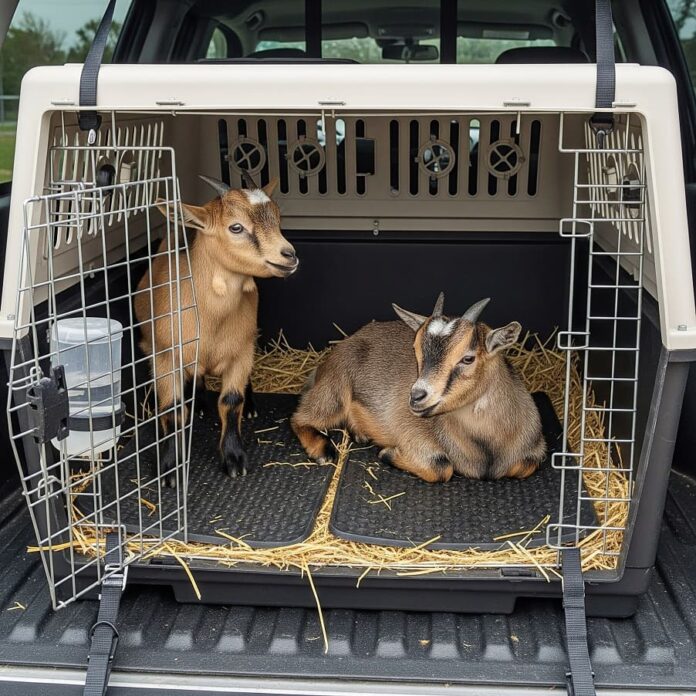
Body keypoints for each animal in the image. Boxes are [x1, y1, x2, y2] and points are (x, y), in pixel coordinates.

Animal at [135, 174, 298, 485]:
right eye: (236, 227)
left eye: (278, 218)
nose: (289, 256)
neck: (211, 319)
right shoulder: (165, 358)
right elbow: (173, 409)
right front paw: (170, 469)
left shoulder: (240, 353)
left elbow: (231, 402)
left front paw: (234, 459)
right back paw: (199, 404)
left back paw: (249, 406)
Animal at [291, 294, 545, 483]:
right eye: (415, 349)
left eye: (468, 358)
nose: (416, 396)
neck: (487, 449)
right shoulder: (413, 433)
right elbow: (441, 468)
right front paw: (387, 453)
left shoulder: (534, 449)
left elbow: (525, 466)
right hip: (335, 389)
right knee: (300, 418)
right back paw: (322, 451)